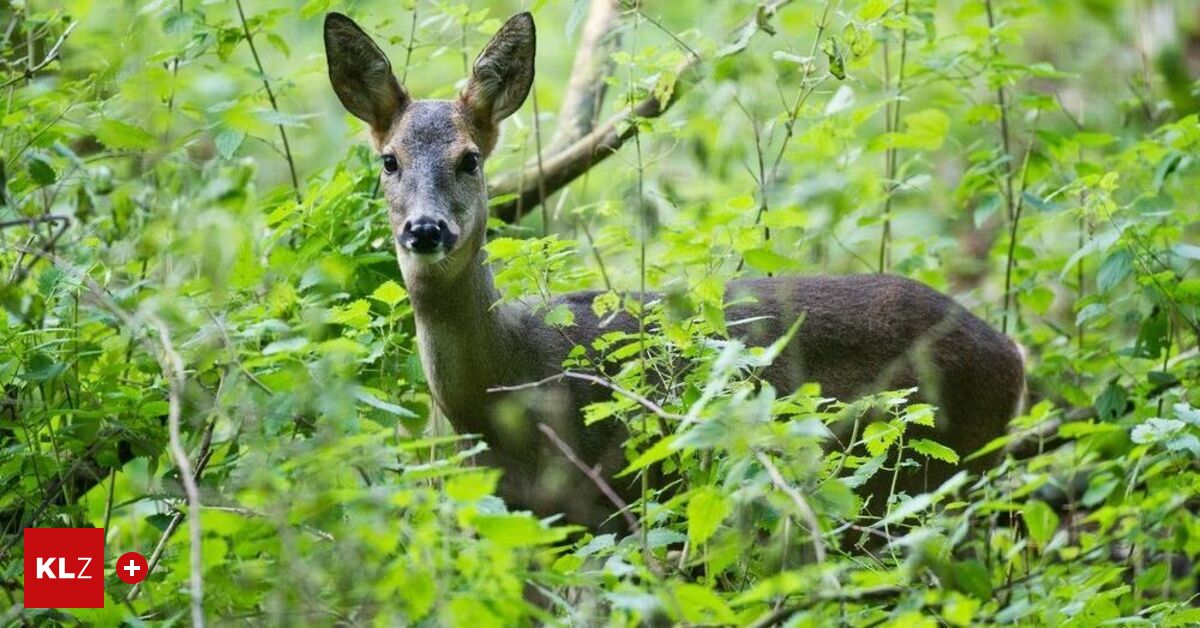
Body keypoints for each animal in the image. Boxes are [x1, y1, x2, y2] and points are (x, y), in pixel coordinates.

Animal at [323, 12, 1026, 532]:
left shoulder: (608, 496)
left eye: (470, 159)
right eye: (388, 160)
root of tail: (1012, 355)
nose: (425, 229)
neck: (511, 389)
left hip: (931, 468)